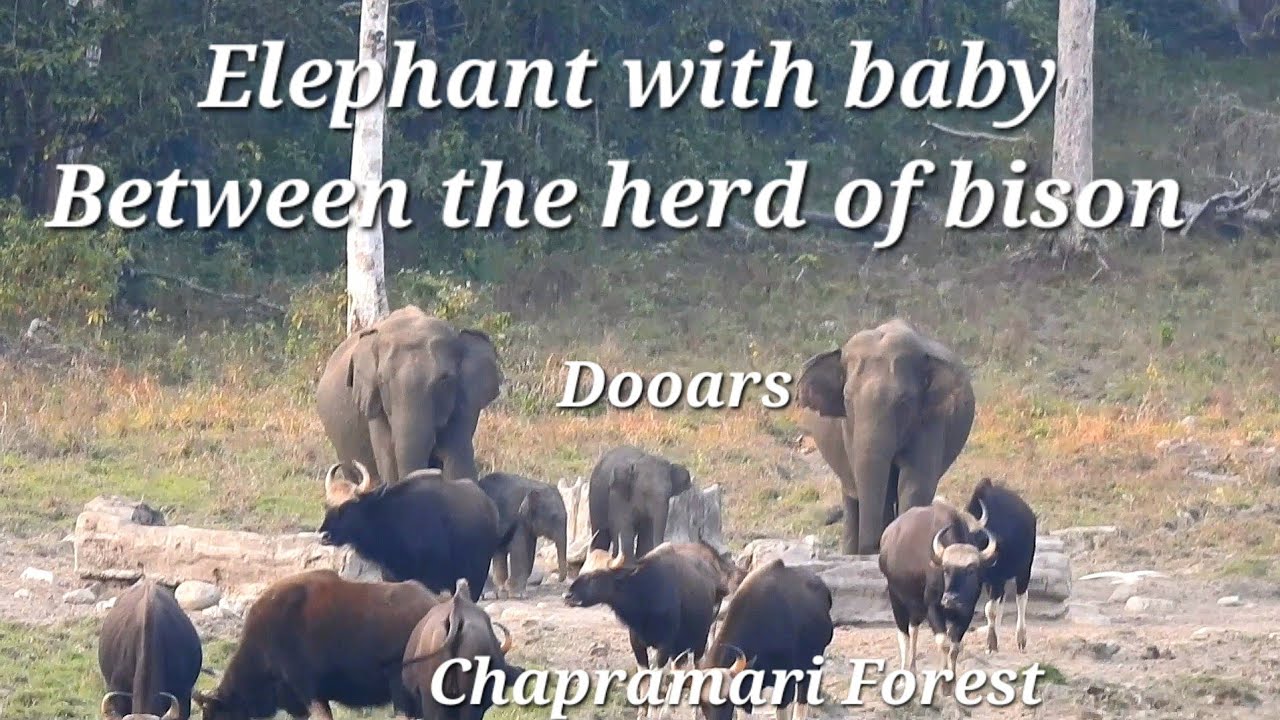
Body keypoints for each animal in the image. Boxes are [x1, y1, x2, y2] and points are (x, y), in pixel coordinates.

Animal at [315, 305, 502, 486]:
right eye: (381, 379)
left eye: (445, 380)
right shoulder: (375, 404)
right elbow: (388, 460)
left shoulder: (463, 404)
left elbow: (458, 460)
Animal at [317, 461, 514, 601]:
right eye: (326, 505)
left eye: (348, 506)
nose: (323, 536)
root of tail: (490, 506)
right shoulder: (393, 579)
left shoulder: (431, 582)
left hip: (476, 577)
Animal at [795, 318, 975, 555]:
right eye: (847, 399)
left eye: (904, 401)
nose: (872, 548)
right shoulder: (848, 428)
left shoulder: (931, 419)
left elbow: (914, 484)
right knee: (853, 495)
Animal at [878, 500, 997, 675]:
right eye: (945, 570)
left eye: (971, 570)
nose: (950, 599)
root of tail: (887, 535)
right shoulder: (933, 607)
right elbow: (944, 643)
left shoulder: (966, 611)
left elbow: (955, 647)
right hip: (896, 597)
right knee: (904, 634)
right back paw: (904, 669)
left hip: (916, 605)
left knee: (913, 628)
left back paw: (913, 667)